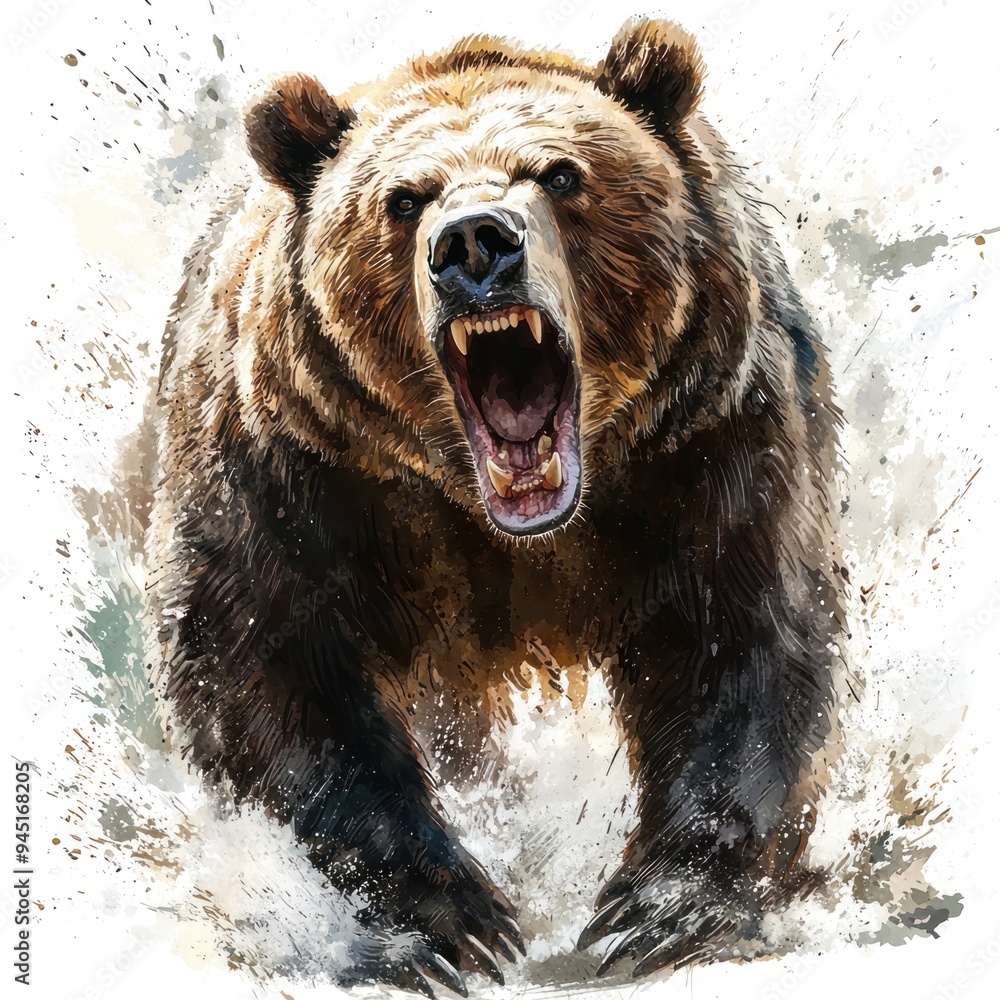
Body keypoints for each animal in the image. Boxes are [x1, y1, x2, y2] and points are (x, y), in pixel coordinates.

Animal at [145, 17, 845, 996]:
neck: (505, 524)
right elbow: (265, 663)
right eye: (403, 199)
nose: (476, 241)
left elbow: (742, 636)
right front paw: (449, 921)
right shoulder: (290, 468)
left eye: (559, 173)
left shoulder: (712, 439)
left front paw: (657, 908)